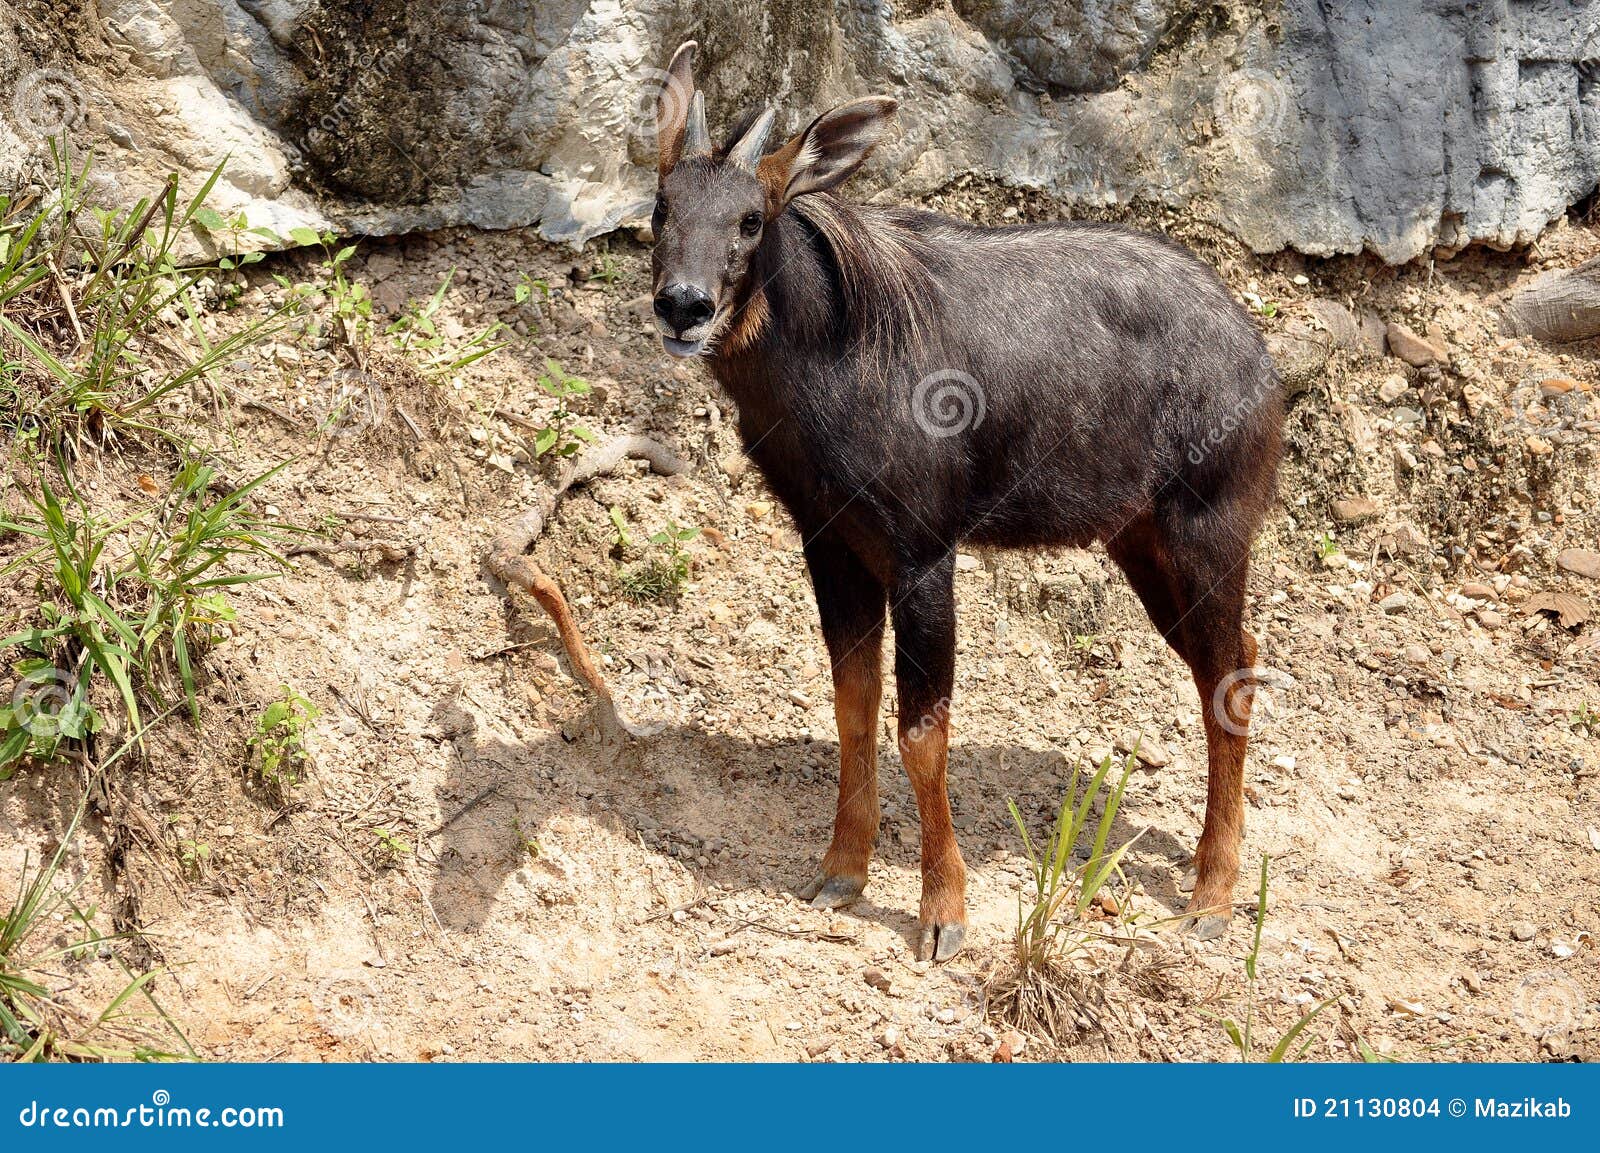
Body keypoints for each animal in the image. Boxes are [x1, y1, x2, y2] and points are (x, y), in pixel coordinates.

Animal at [648, 42, 1283, 960]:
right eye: (660, 204)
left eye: (750, 219)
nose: (683, 305)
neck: (837, 352)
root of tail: (1262, 363)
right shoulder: (831, 542)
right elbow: (853, 705)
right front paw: (840, 871)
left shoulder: (923, 551)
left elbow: (922, 732)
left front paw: (943, 912)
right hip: (1143, 546)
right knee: (1230, 662)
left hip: (1209, 531)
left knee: (1230, 676)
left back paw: (1213, 898)